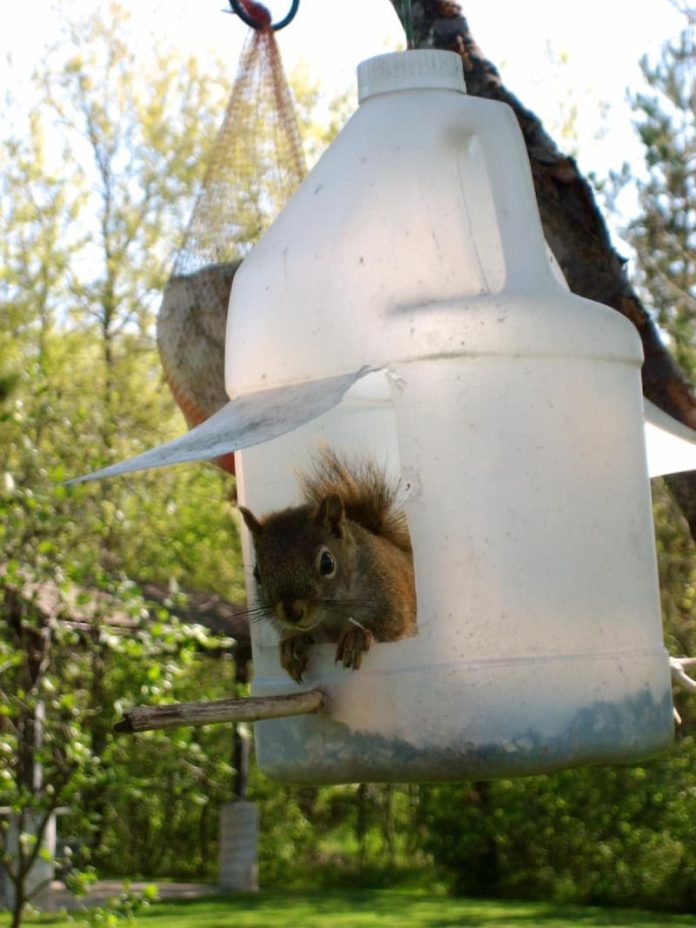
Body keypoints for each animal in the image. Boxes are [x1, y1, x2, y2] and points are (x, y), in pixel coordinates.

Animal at [239, 447, 417, 683]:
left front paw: (357, 637)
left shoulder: (389, 600)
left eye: (327, 563)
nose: (291, 611)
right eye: (257, 573)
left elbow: (389, 628)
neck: (332, 613)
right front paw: (293, 642)